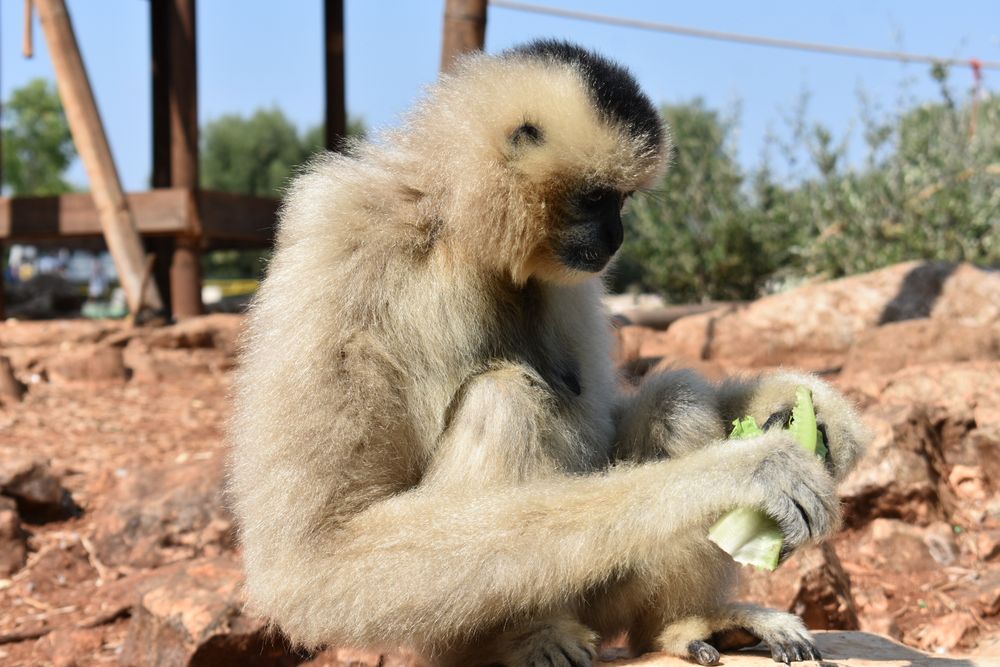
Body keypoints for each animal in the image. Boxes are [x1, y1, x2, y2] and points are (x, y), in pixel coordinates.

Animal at [228, 40, 869, 667]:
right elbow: (317, 558)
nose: (617, 236)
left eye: (623, 200)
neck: (456, 229)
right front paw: (742, 472)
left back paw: (679, 624)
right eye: (596, 198)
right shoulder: (343, 236)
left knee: (676, 399)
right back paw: (526, 638)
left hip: (604, 593)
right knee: (504, 396)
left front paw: (809, 409)